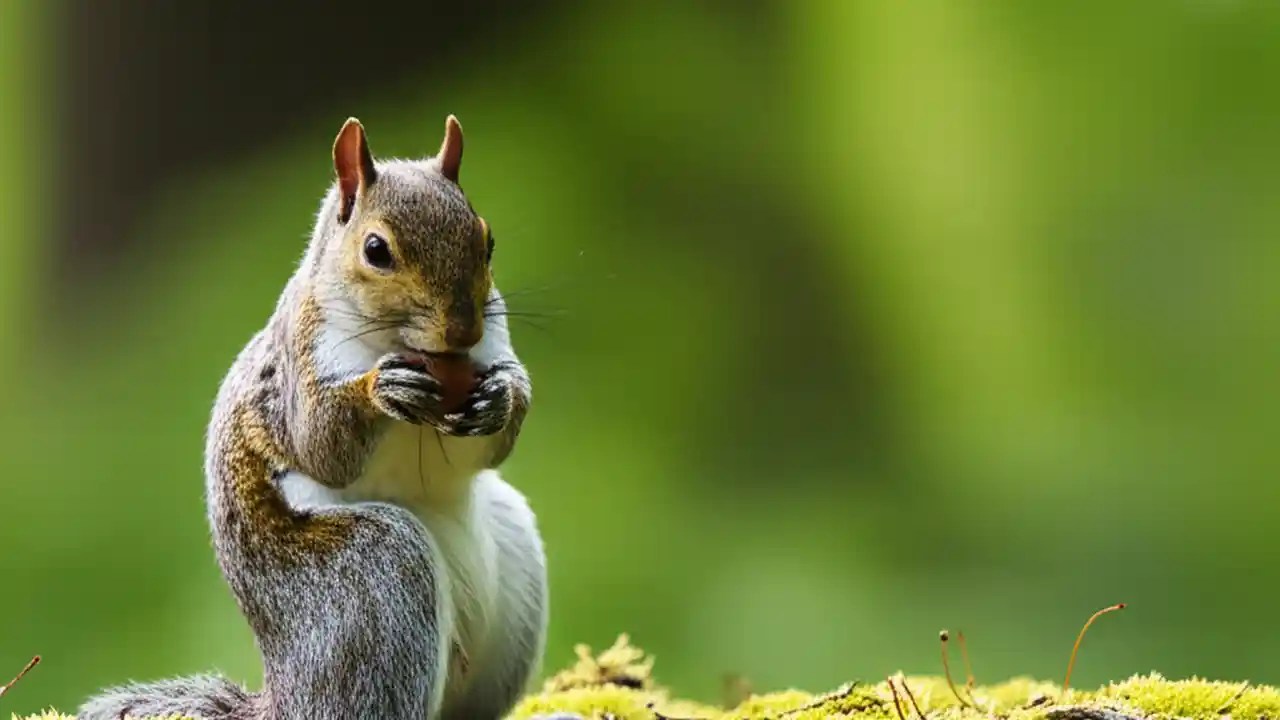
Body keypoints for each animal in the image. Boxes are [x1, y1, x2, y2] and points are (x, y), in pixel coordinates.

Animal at [79, 116, 549, 720]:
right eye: (376, 250)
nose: (463, 330)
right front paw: (380, 390)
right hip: (378, 575)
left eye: (487, 240)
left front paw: (500, 397)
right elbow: (320, 446)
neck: (397, 342)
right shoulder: (297, 367)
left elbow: (493, 443)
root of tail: (287, 691)